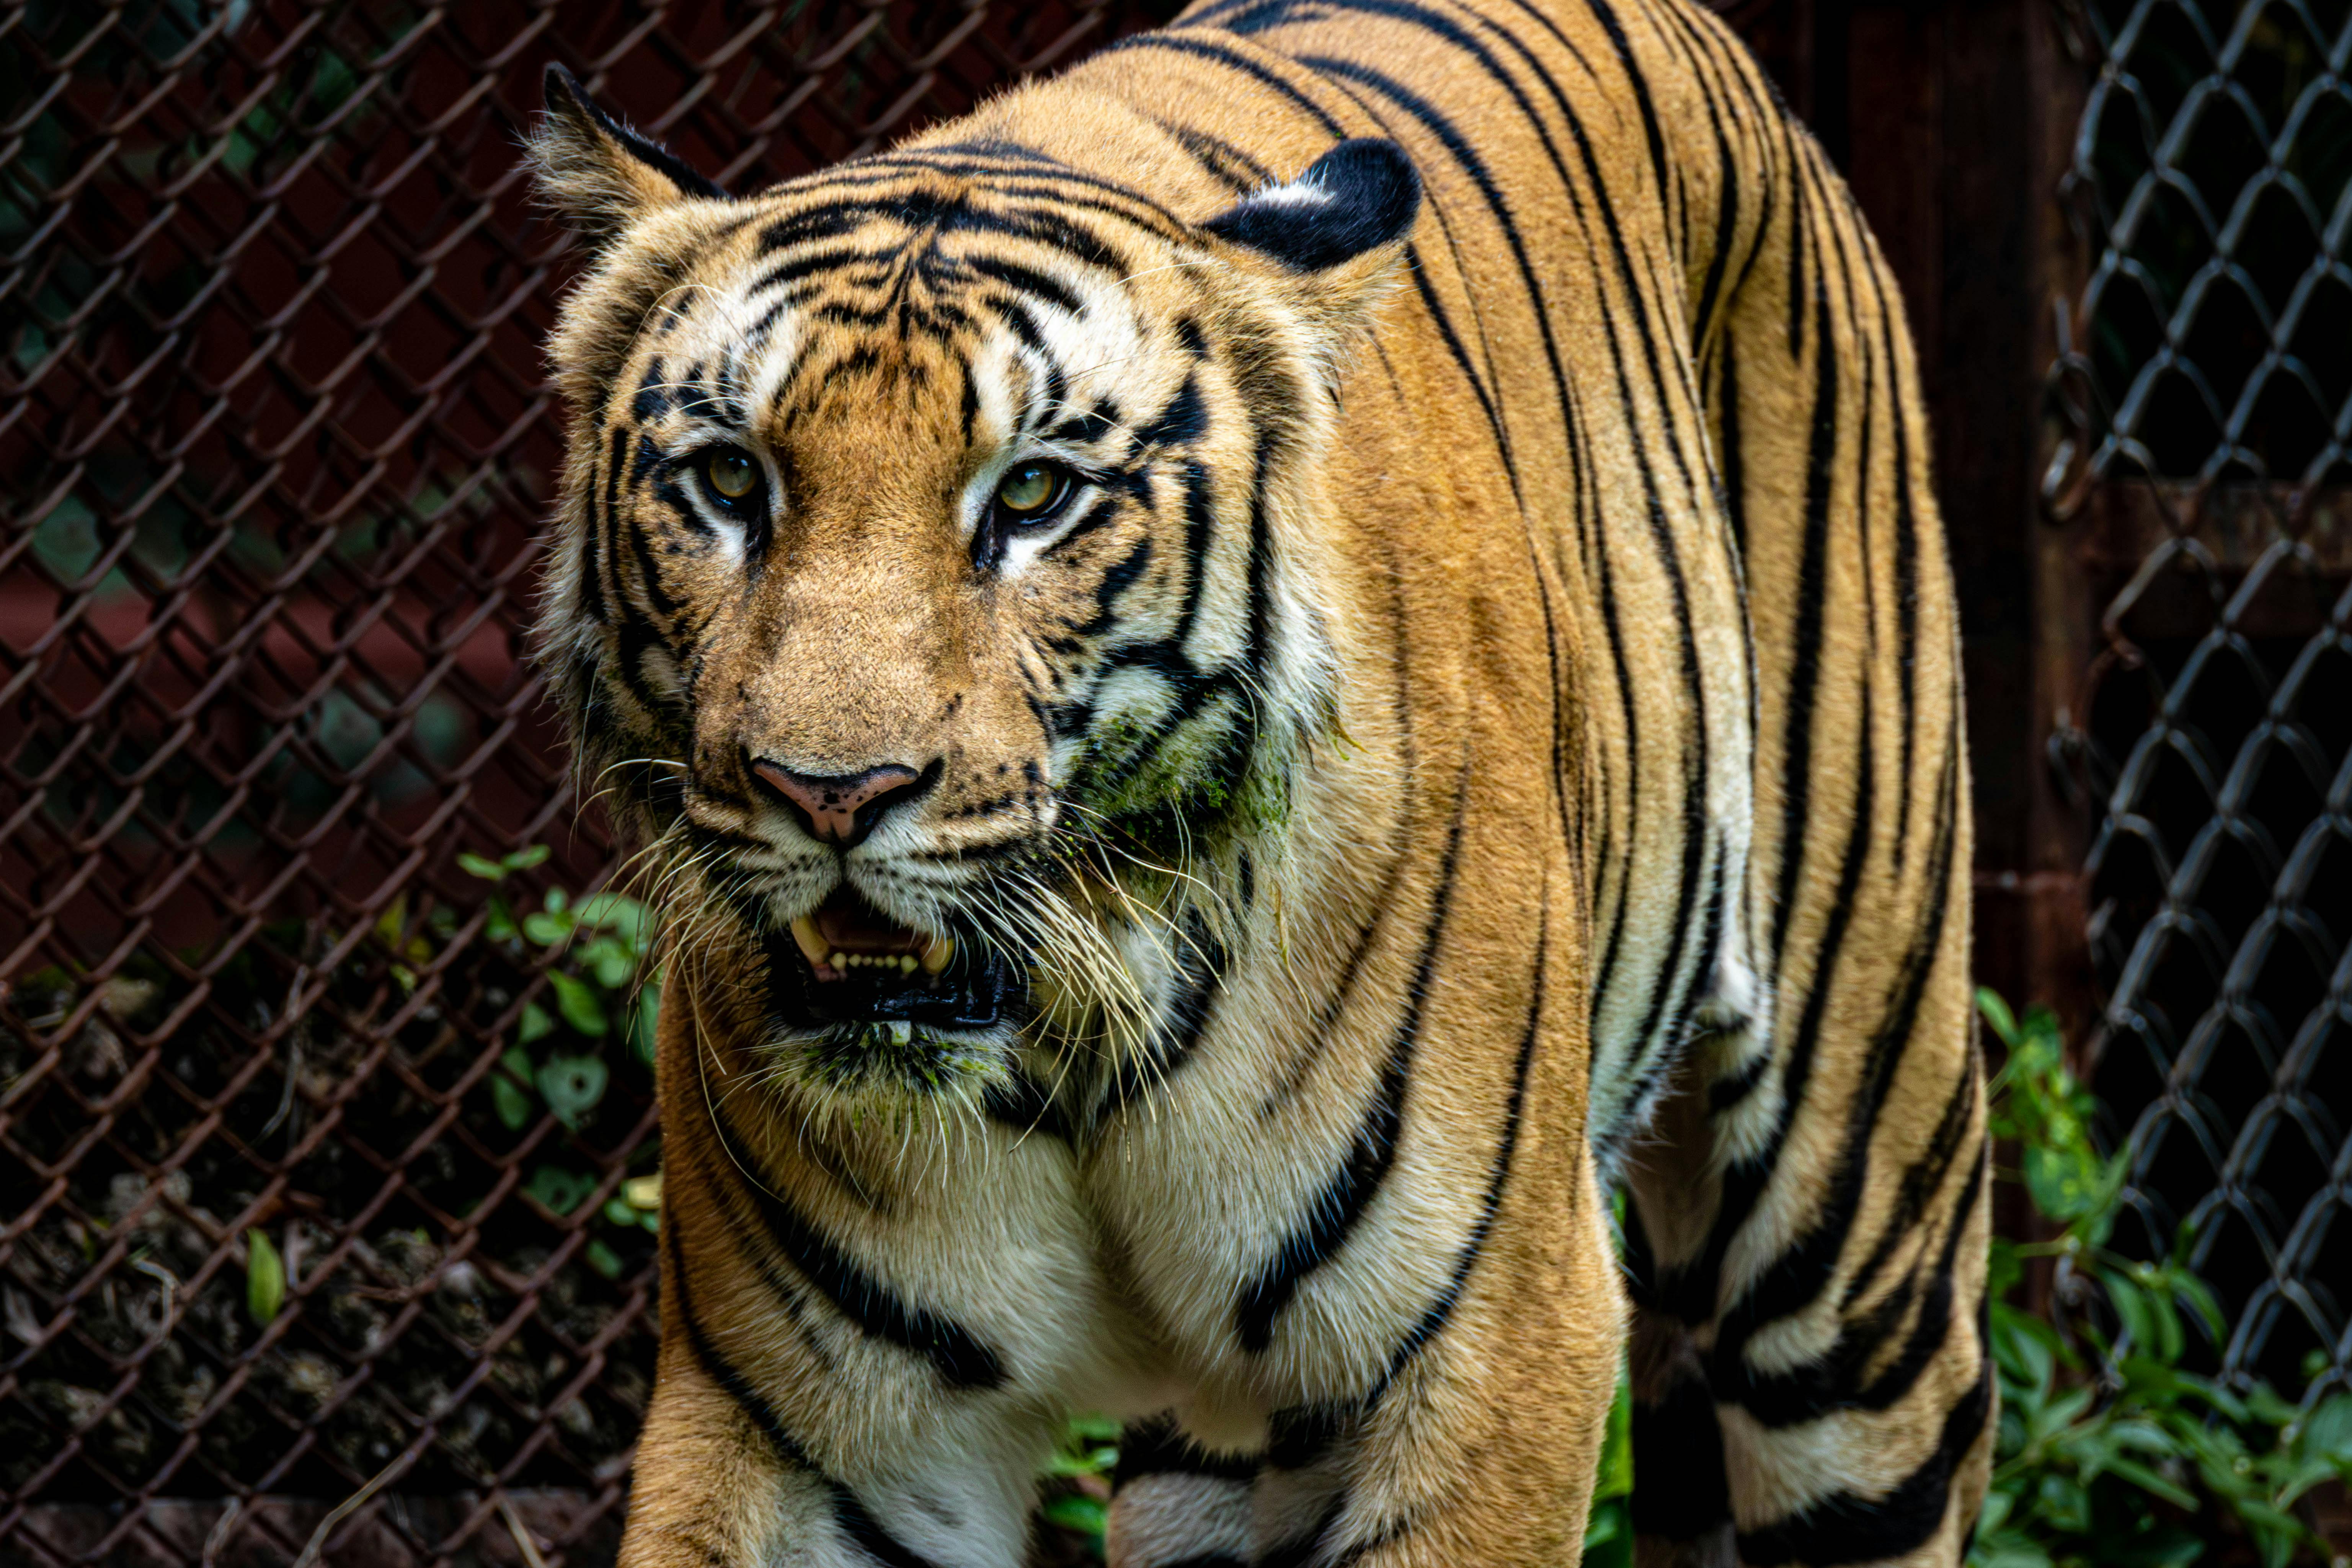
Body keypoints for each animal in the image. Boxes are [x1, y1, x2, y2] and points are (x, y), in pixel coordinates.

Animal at [524, 0, 1989, 1563]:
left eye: (1031, 493)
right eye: (730, 481)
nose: (827, 793)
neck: (1072, 1040)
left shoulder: (1496, 1343)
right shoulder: (804, 1421)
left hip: (1853, 1235)